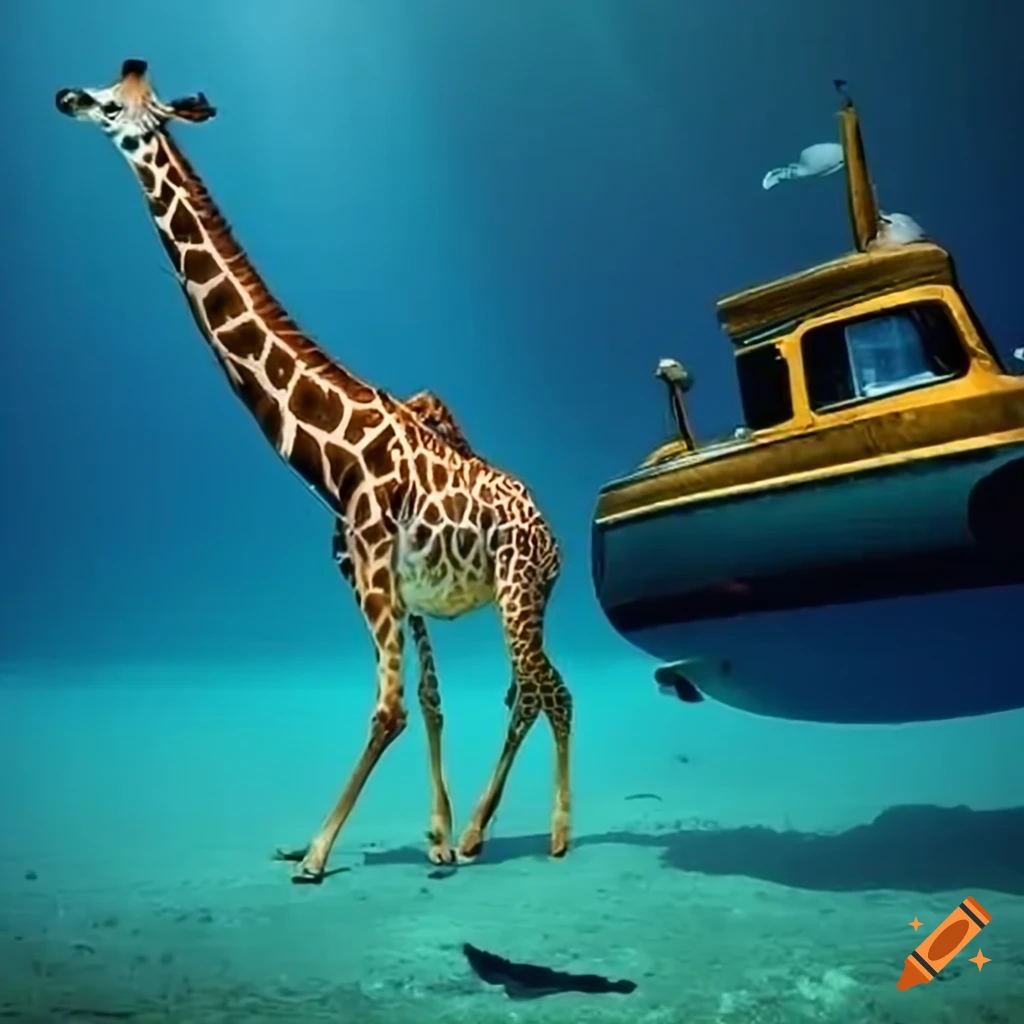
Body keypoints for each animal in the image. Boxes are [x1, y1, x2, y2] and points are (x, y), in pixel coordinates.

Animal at [55, 60, 572, 881]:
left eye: (111, 107)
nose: (63, 99)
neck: (328, 450)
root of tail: (555, 537)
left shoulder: (373, 574)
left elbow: (389, 708)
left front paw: (318, 850)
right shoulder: (386, 583)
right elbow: (429, 698)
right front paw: (429, 834)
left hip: (521, 593)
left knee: (551, 688)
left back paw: (555, 831)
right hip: (512, 599)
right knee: (525, 690)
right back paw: (473, 833)